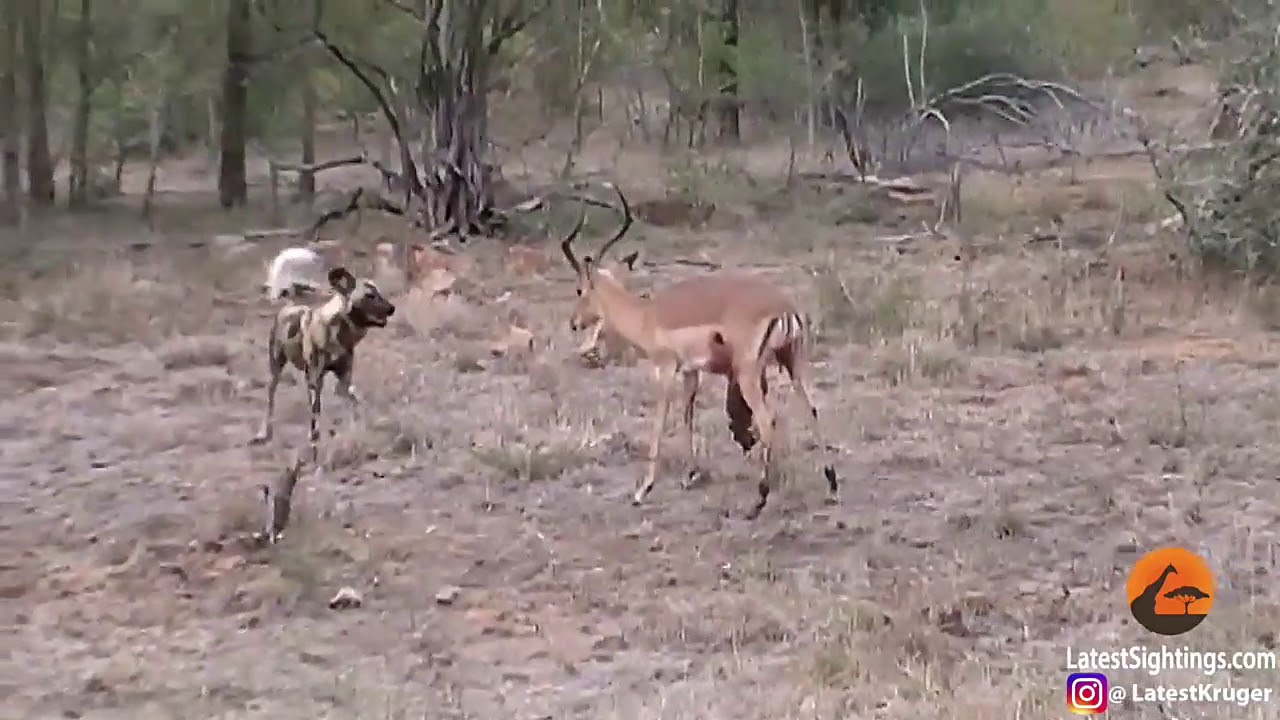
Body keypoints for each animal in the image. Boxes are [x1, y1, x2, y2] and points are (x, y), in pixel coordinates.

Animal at [560, 183, 838, 519]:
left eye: (579, 289)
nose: (574, 323)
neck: (646, 314)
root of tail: (784, 306)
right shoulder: (691, 371)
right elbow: (687, 414)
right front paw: (689, 475)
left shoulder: (665, 368)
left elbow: (660, 419)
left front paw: (642, 490)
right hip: (793, 362)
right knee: (812, 408)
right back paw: (831, 485)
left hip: (748, 372)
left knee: (766, 419)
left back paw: (758, 501)